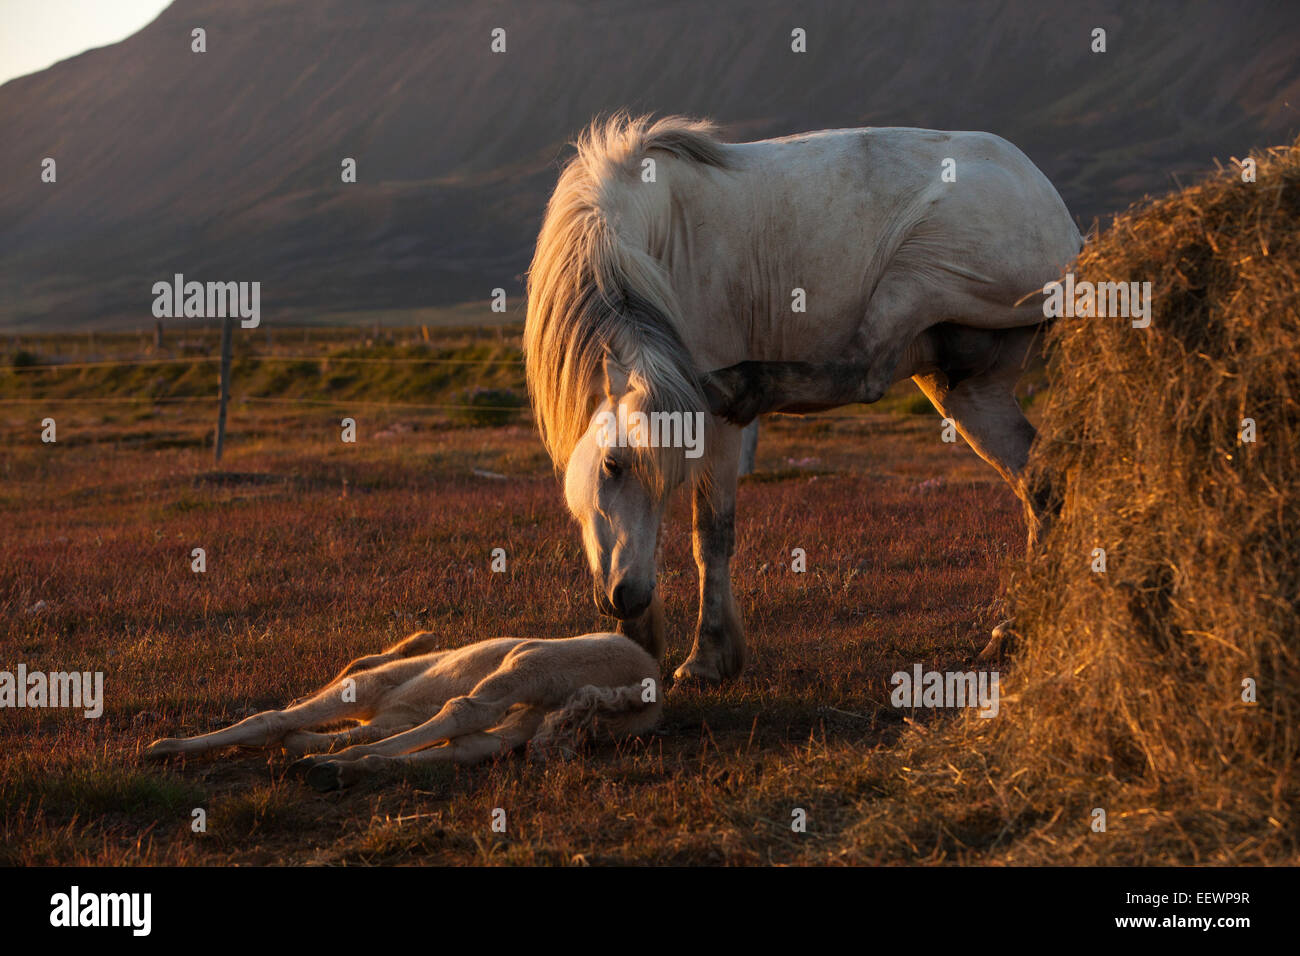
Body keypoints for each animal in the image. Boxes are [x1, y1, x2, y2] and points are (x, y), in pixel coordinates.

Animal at [143, 631, 661, 790]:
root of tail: (641, 690)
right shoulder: (389, 715)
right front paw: (309, 746)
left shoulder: (369, 687)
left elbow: (270, 722)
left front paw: (164, 747)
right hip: (532, 719)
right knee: (472, 747)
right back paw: (344, 766)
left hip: (532, 664)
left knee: (464, 711)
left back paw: (335, 763)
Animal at [524, 114, 1083, 684]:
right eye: (613, 465)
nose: (629, 598)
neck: (660, 235)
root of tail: (1063, 222)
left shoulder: (712, 430)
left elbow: (711, 534)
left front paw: (708, 658)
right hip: (965, 384)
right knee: (1039, 485)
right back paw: (1013, 629)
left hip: (918, 273)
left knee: (864, 370)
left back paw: (741, 385)